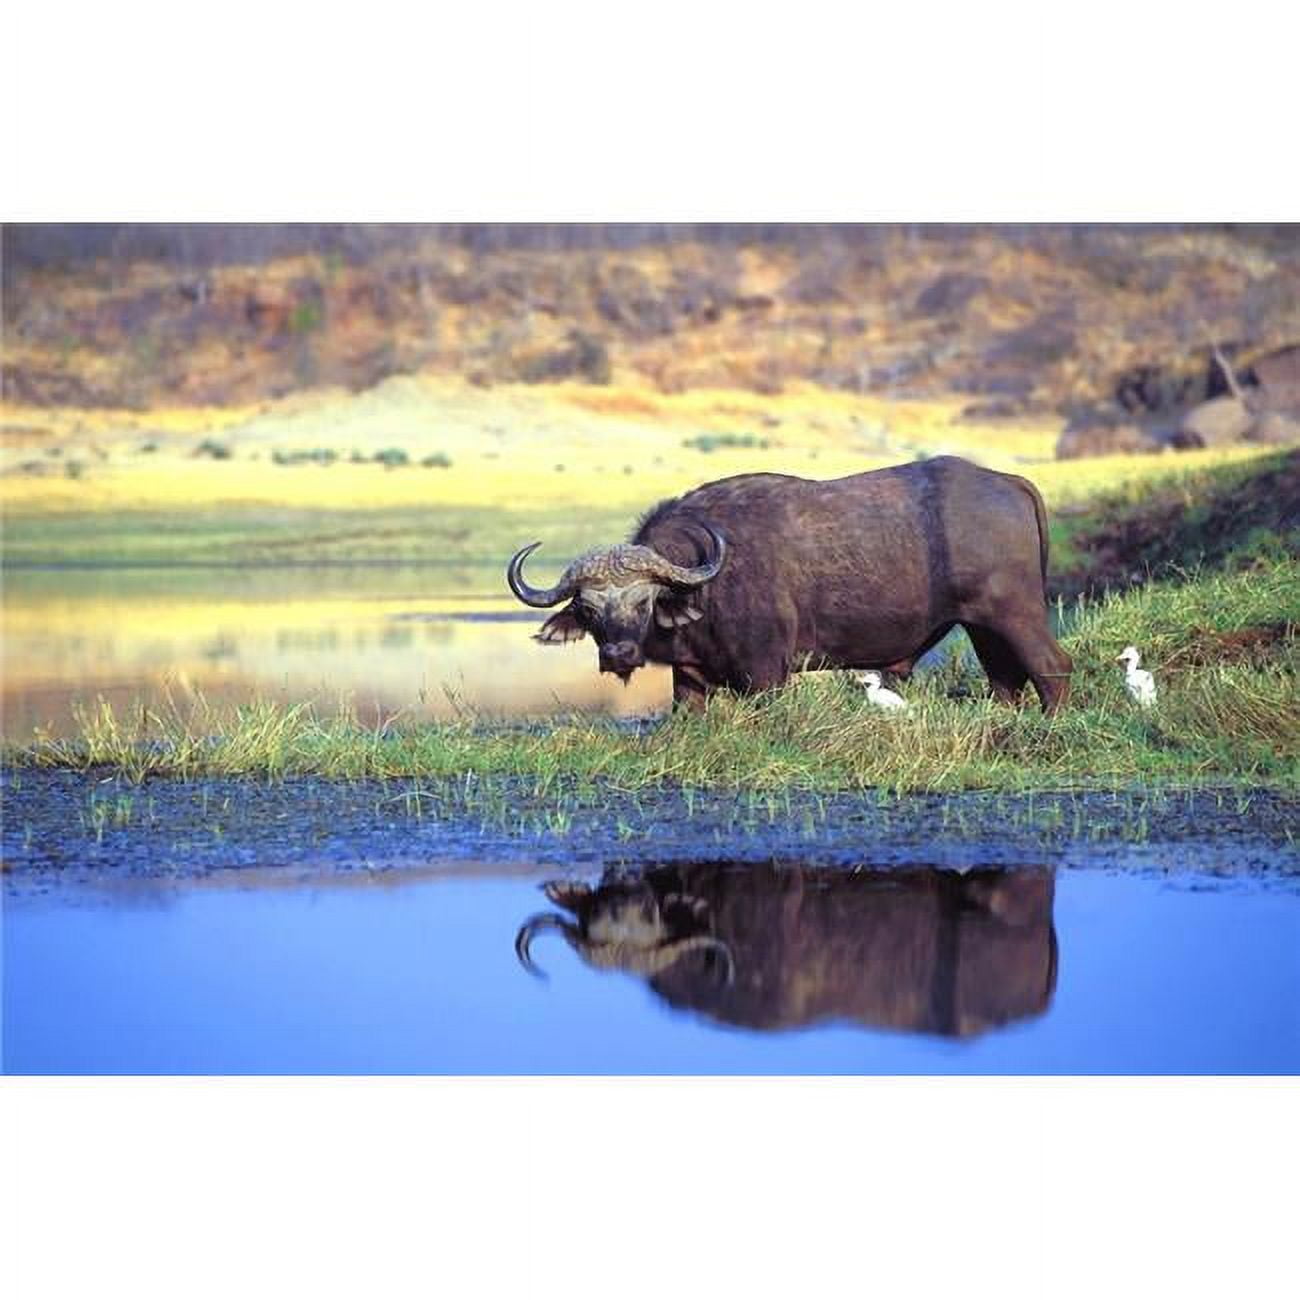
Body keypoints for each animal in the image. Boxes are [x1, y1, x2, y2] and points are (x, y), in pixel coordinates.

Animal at [507, 455, 1072, 712]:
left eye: (644, 600)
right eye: (588, 609)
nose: (619, 654)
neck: (709, 581)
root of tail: (1008, 482)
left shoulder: (767, 673)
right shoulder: (689, 679)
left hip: (1017, 614)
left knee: (1052, 666)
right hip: (981, 626)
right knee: (1004, 677)